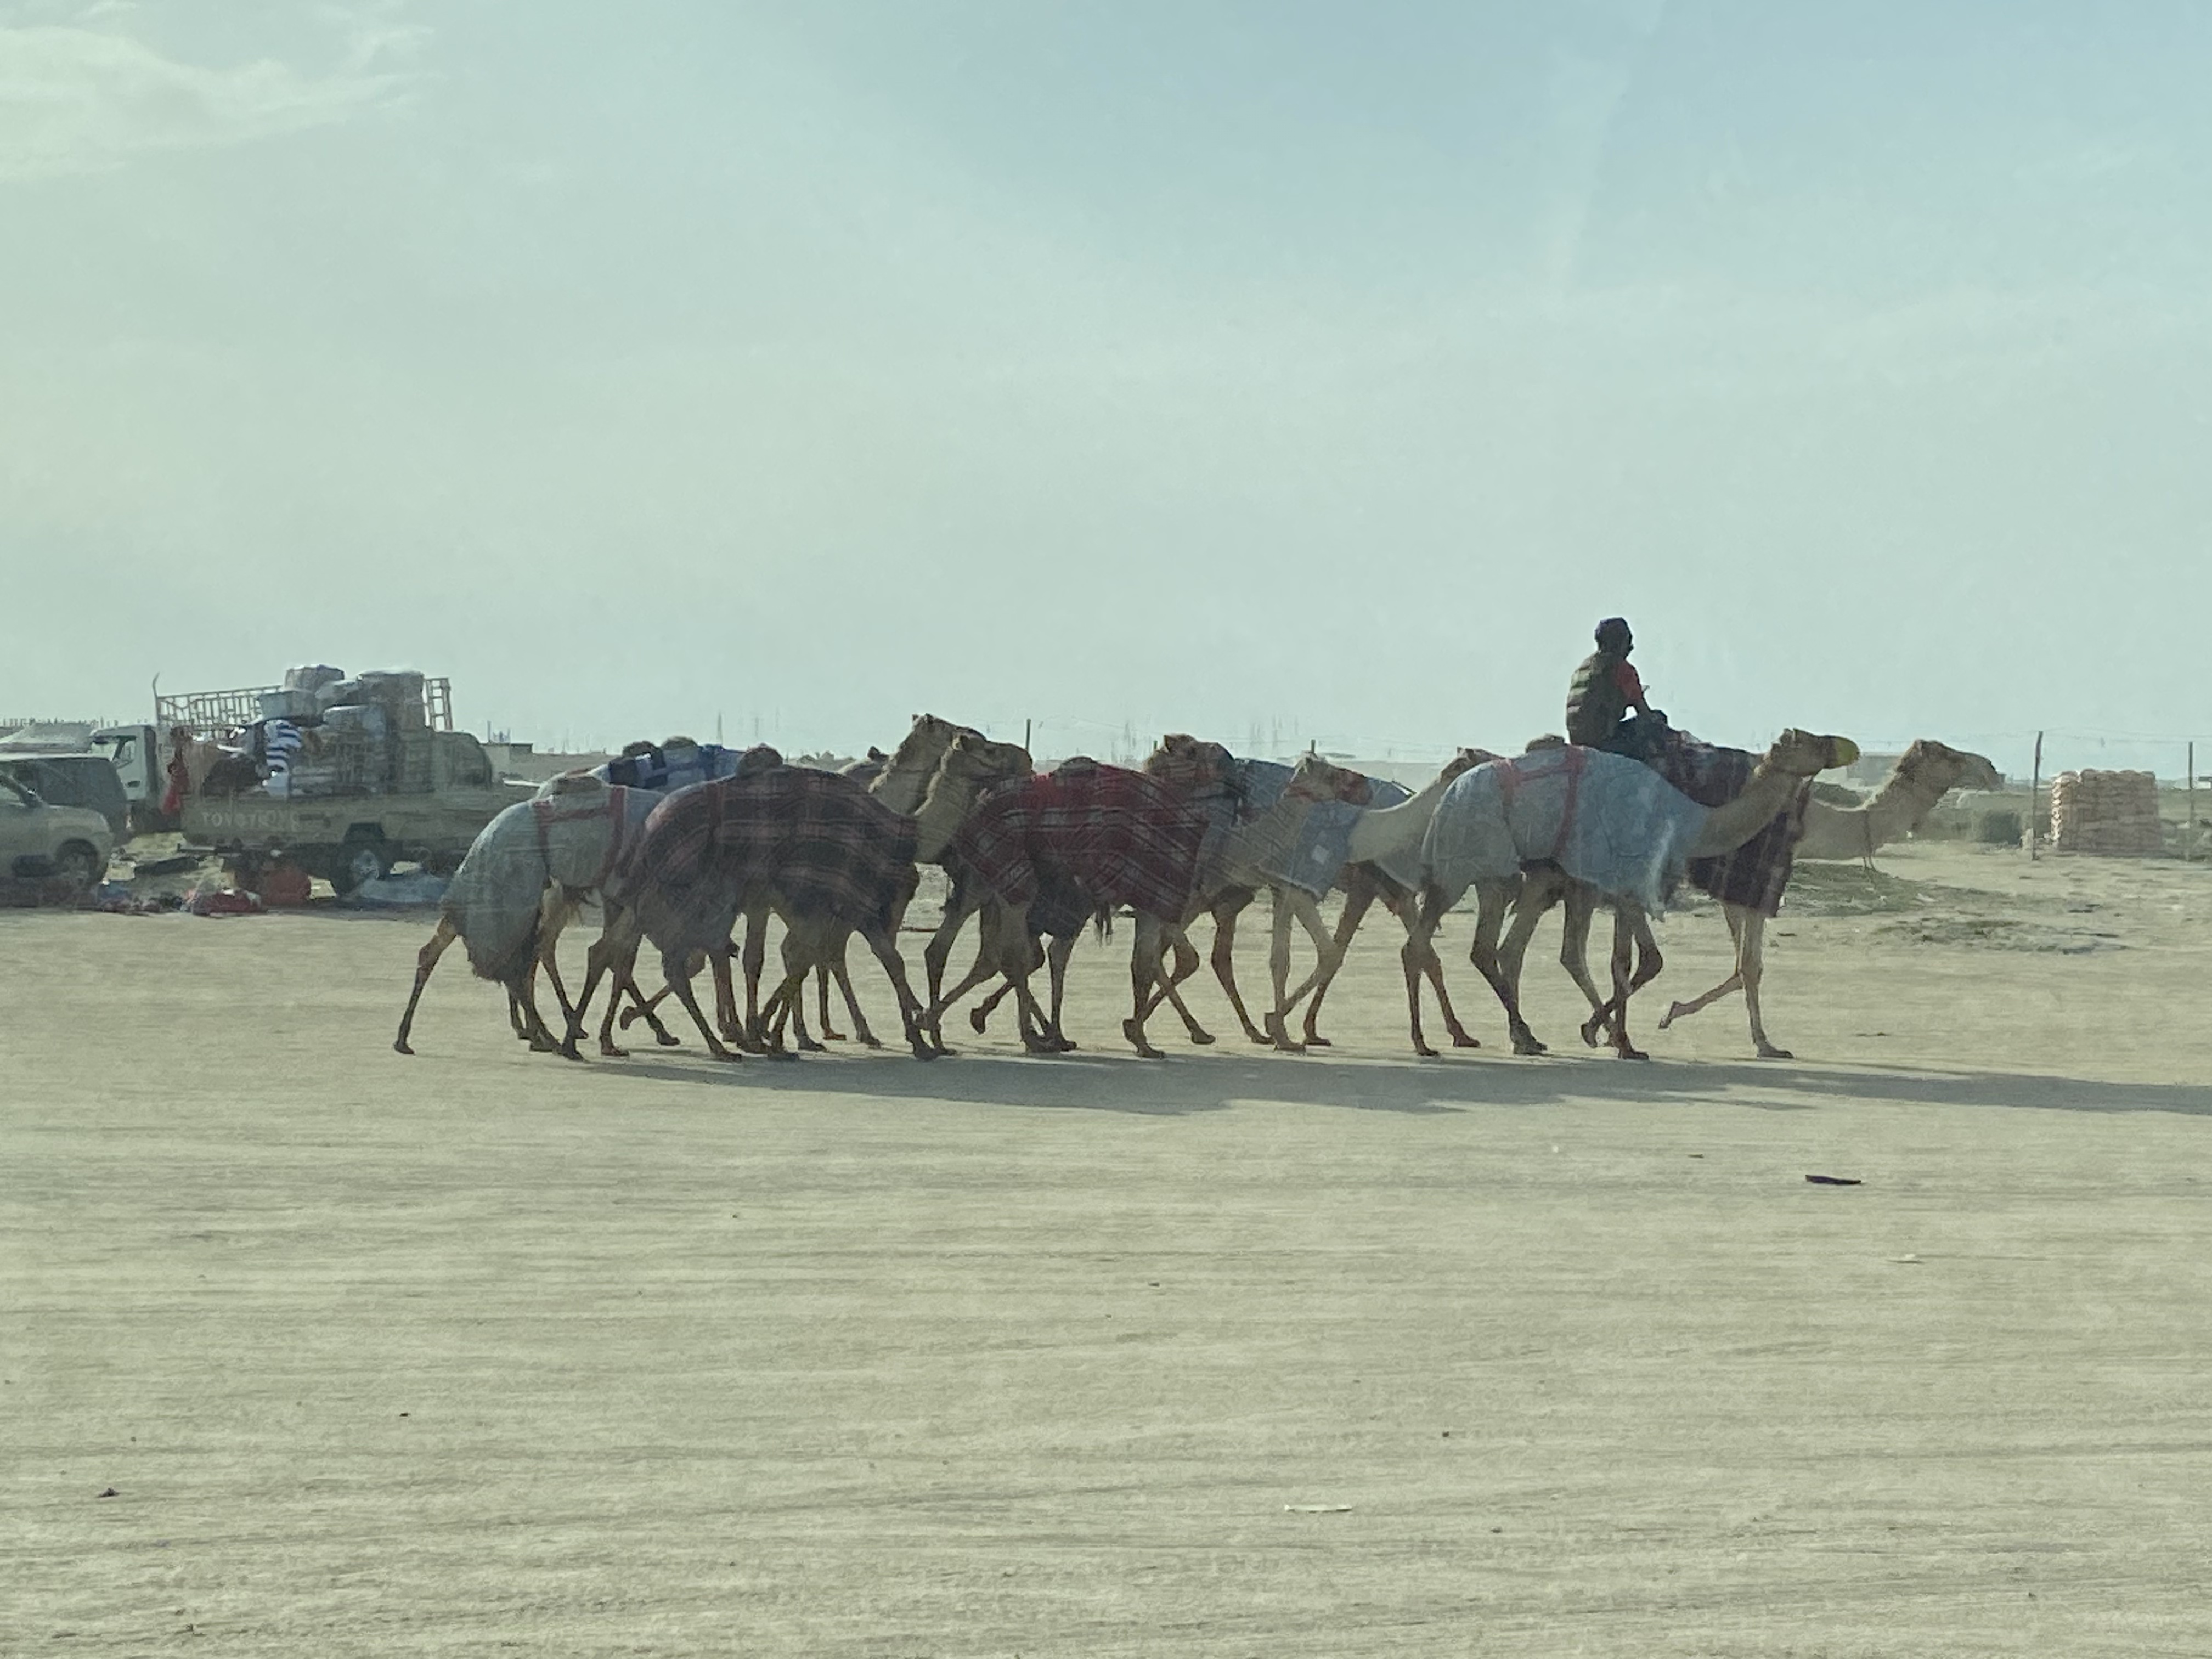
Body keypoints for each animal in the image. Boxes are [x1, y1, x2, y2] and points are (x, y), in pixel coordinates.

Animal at [1400, 730, 1860, 1059]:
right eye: (1810, 740)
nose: (1847, 747)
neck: (1691, 820)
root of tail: (1448, 797)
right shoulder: (1628, 884)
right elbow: (1644, 961)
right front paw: (1612, 1037)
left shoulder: (1617, 890)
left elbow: (1626, 961)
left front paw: (1613, 1036)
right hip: (1473, 865)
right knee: (1463, 947)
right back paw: (1469, 1038)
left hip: (1501, 876)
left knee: (1488, 948)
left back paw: (1508, 1037)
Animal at [1653, 738, 2001, 1057]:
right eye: (1949, 756)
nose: (1992, 770)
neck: (1810, 825)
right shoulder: (1750, 883)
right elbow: (1749, 967)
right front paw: (1765, 1045)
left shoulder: (1739, 890)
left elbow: (1748, 967)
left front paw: (1674, 1011)